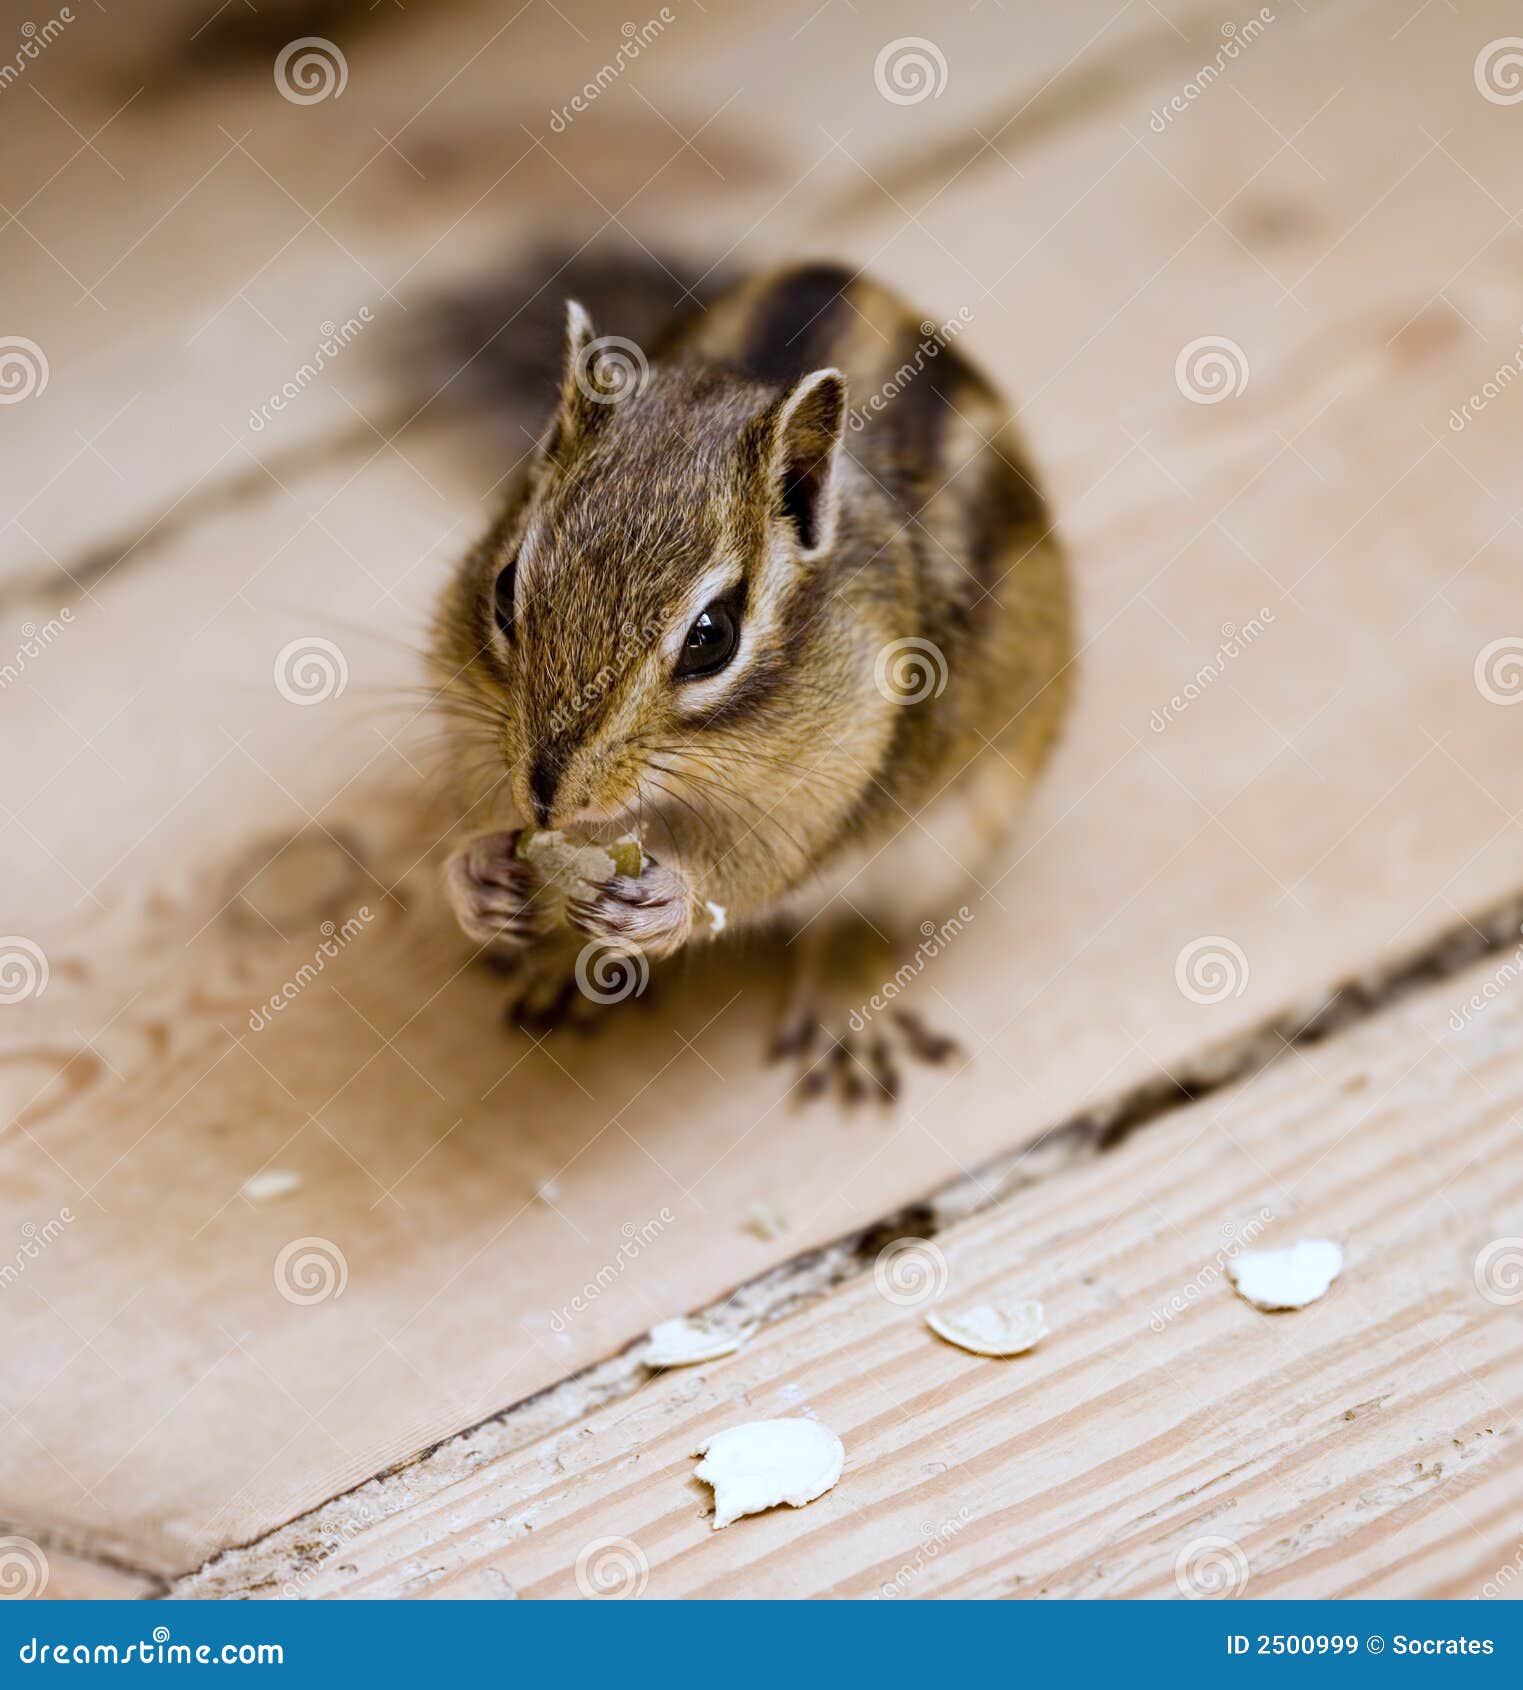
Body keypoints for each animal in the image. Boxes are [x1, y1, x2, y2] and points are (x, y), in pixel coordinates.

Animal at [432, 261, 1073, 1101]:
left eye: (711, 638)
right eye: (505, 589)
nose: (545, 801)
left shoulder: (830, 780)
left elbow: (762, 869)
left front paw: (672, 900)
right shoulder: (465, 709)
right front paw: (476, 874)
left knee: (863, 922)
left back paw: (841, 1010)